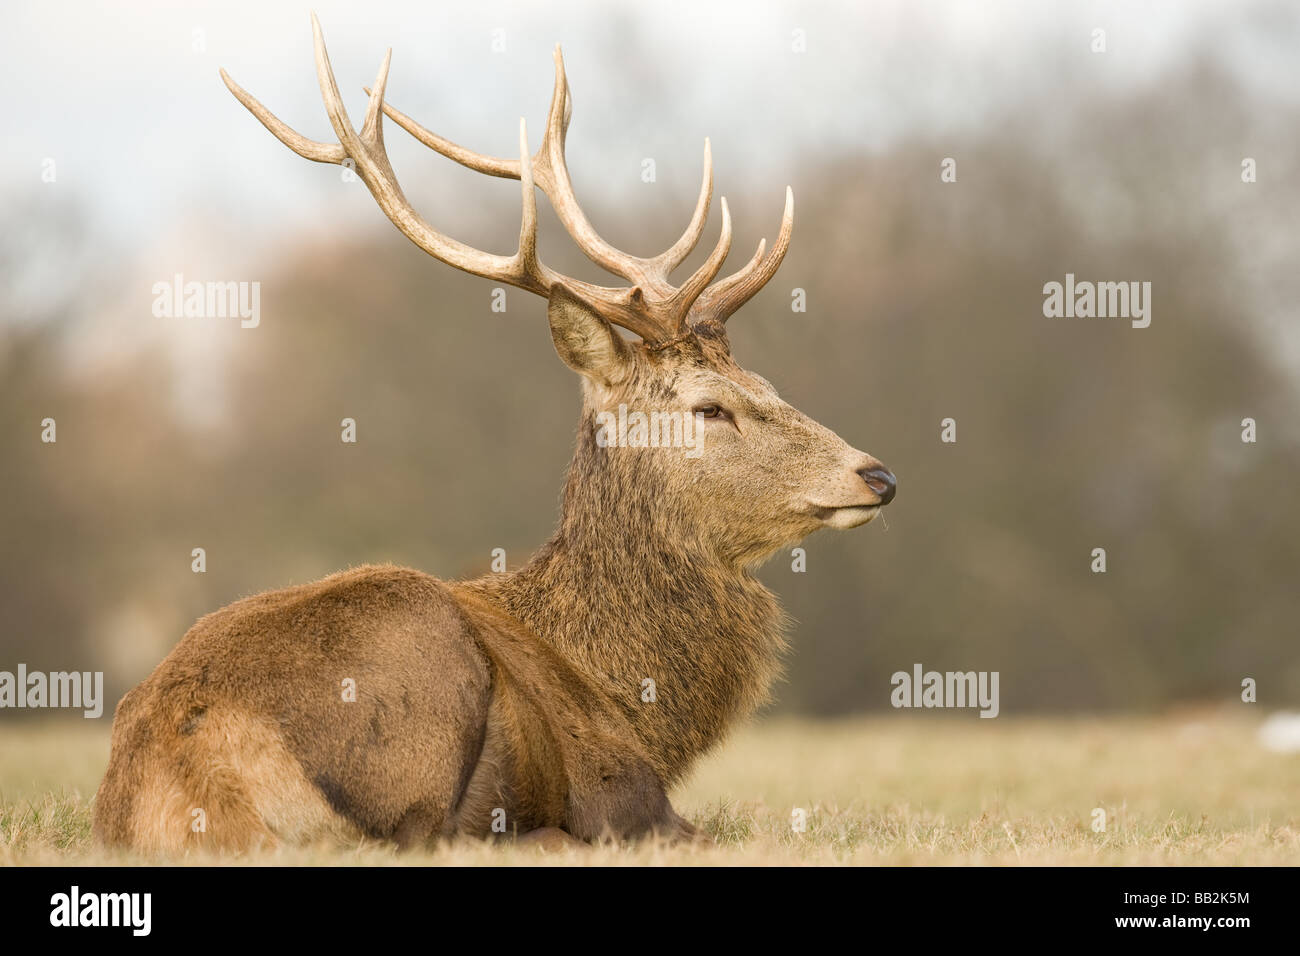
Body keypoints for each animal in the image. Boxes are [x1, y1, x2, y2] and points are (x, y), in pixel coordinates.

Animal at [92, 15, 897, 853]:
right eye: (710, 408)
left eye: (766, 385)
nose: (877, 475)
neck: (628, 700)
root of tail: (181, 777)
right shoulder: (627, 790)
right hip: (414, 653)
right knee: (431, 833)